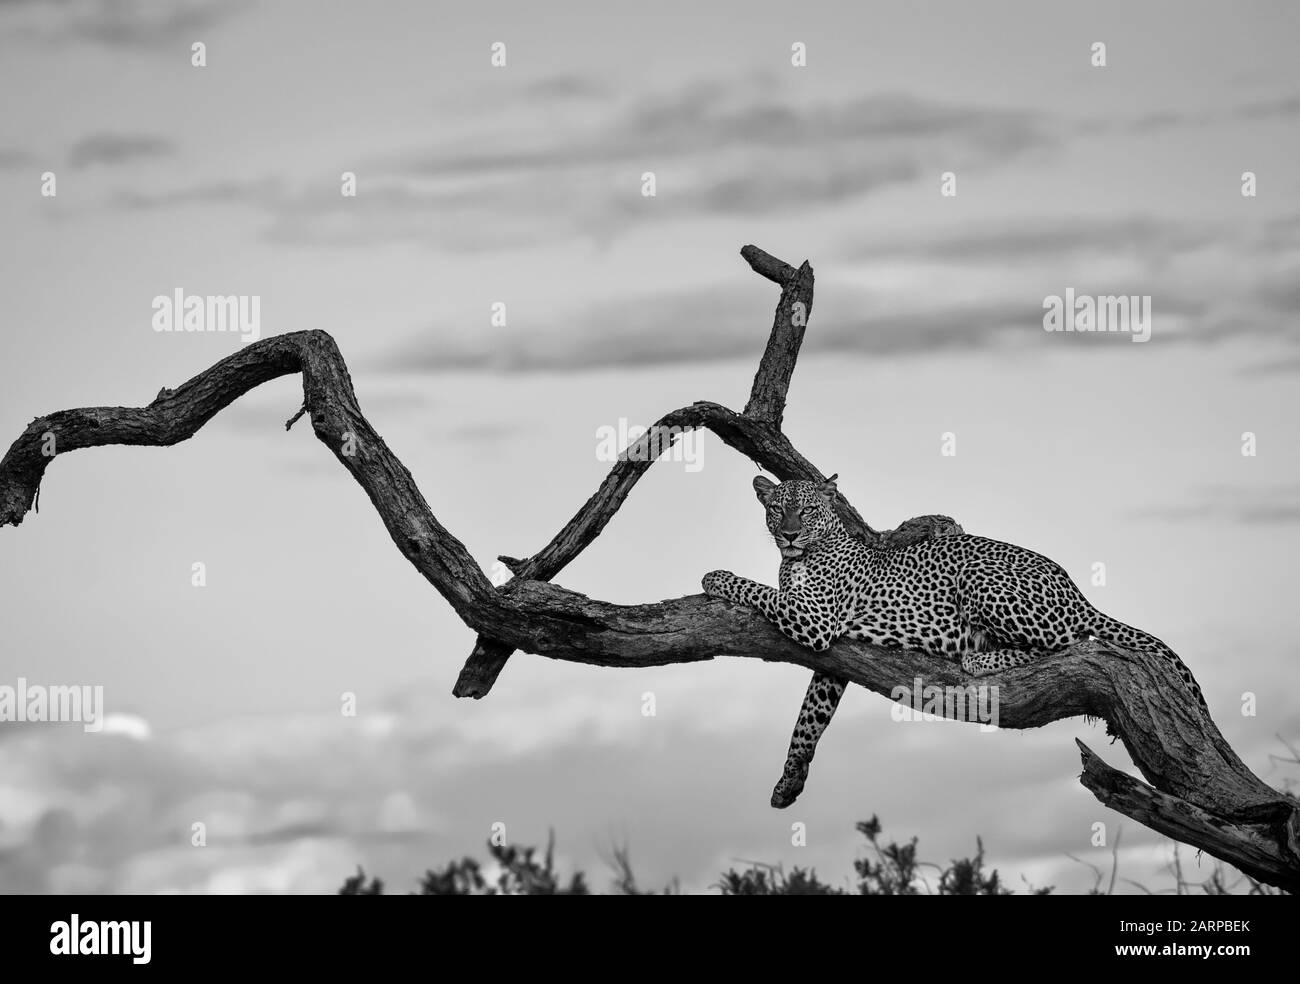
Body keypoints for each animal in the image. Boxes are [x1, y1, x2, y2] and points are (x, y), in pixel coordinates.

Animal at [701, 474, 1207, 810]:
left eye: (805, 510)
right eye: (776, 509)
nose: (788, 533)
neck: (801, 556)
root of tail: (1076, 591)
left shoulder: (815, 617)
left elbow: (756, 589)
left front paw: (715, 576)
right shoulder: (832, 658)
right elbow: (809, 719)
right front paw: (789, 780)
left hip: (982, 579)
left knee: (1068, 642)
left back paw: (981, 657)